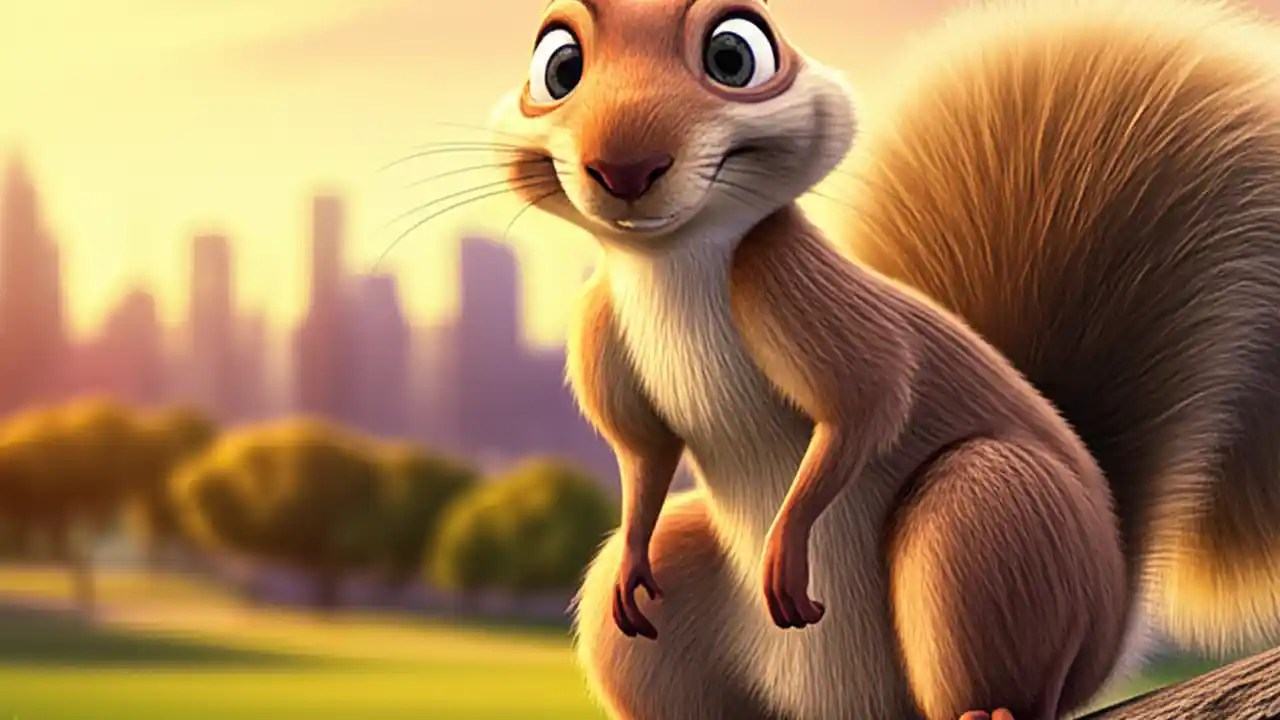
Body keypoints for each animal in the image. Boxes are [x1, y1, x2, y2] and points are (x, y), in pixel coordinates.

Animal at [487, 0, 1280, 718]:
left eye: (735, 55)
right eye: (558, 66)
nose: (624, 168)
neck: (667, 261)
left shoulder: (790, 284)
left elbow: (864, 406)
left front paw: (787, 546)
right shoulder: (598, 319)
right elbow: (644, 453)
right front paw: (631, 553)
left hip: (991, 520)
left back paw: (989, 710)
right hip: (660, 622)